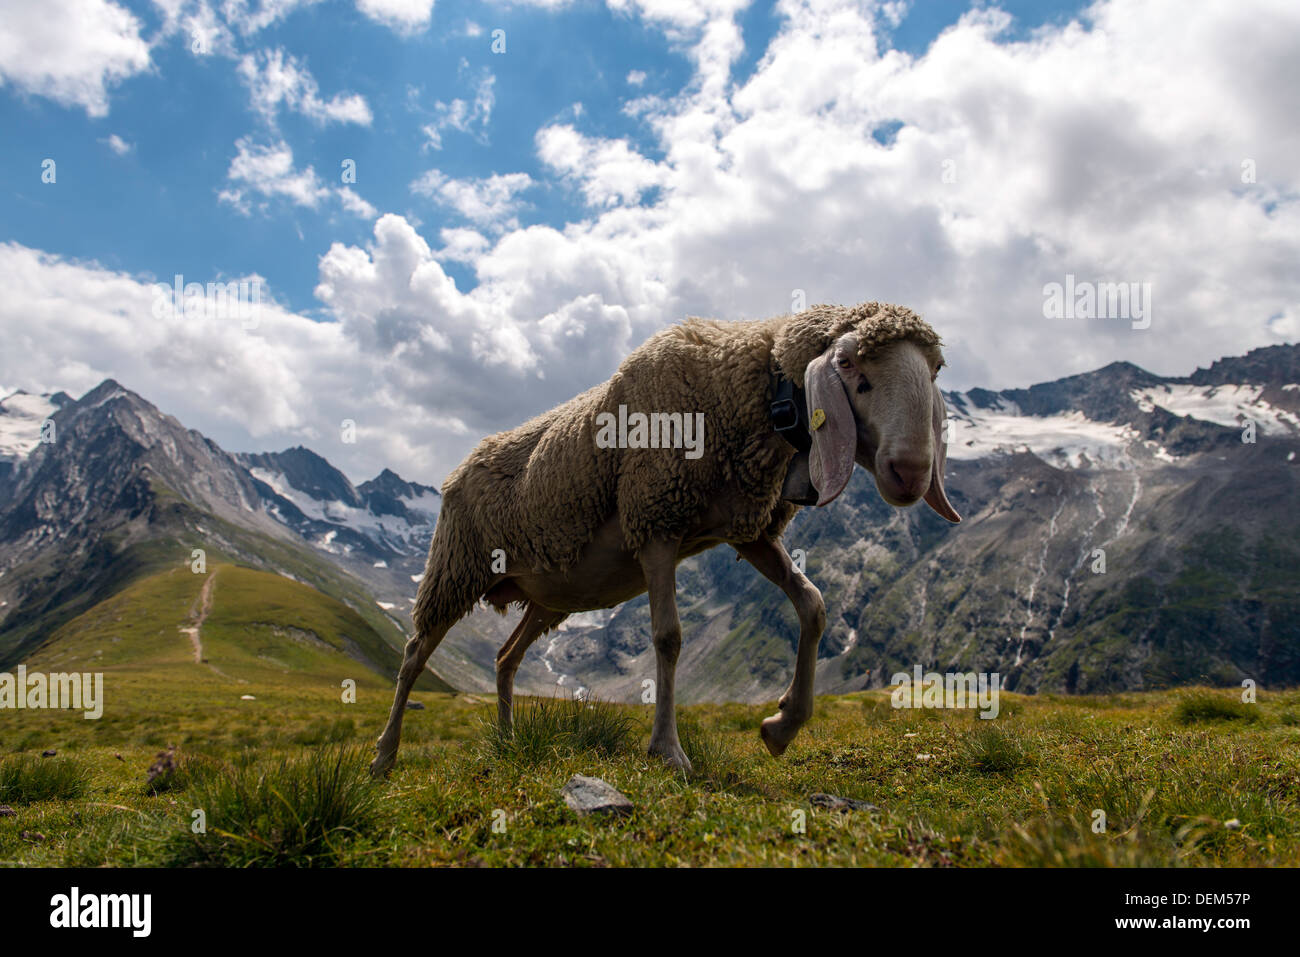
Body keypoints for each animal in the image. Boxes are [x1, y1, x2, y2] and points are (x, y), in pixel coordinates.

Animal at [371, 301, 961, 776]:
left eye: (933, 371)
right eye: (849, 366)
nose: (910, 472)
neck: (747, 391)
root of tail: (461, 465)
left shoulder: (748, 530)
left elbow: (813, 605)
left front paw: (782, 725)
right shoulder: (656, 520)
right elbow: (669, 637)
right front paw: (668, 751)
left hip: (549, 595)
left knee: (504, 658)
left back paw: (508, 741)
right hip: (457, 566)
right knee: (413, 655)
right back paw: (384, 756)